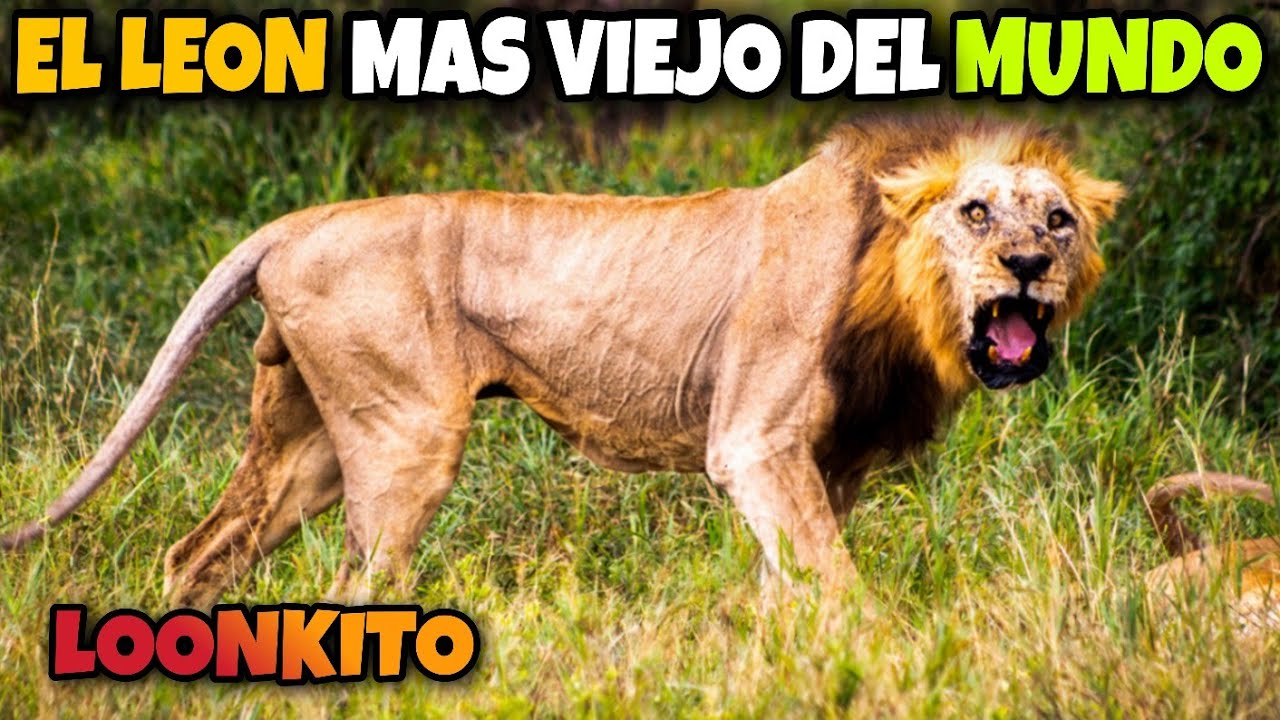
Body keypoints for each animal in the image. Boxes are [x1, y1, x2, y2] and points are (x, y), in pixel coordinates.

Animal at [1, 116, 1123, 606]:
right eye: (973, 211)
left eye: (1056, 221)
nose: (1027, 267)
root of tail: (293, 221)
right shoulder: (754, 444)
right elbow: (840, 586)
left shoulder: (822, 468)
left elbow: (792, 585)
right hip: (406, 435)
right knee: (360, 583)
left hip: (308, 441)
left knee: (197, 552)